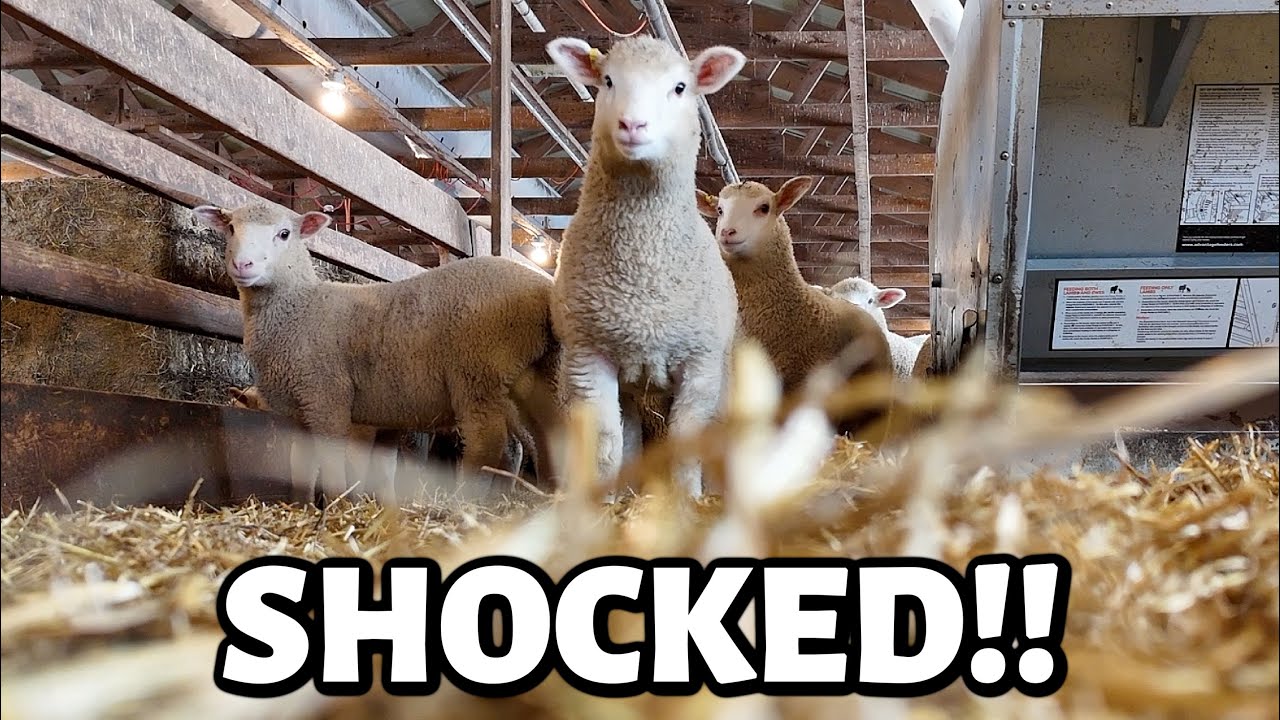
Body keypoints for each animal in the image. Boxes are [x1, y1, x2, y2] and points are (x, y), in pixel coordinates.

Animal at [193, 203, 560, 503]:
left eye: (284, 234)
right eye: (230, 228)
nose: (243, 264)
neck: (302, 306)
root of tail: (543, 287)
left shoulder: (328, 399)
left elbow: (334, 463)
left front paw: (338, 506)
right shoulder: (304, 410)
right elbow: (302, 465)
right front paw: (303, 506)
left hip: (478, 373)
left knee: (489, 444)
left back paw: (464, 503)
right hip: (536, 372)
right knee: (547, 433)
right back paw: (550, 494)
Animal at [543, 35, 746, 497]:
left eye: (679, 88)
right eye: (607, 80)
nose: (632, 125)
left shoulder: (700, 366)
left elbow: (686, 444)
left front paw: (687, 499)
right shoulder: (589, 356)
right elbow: (605, 443)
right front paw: (601, 502)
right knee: (630, 434)